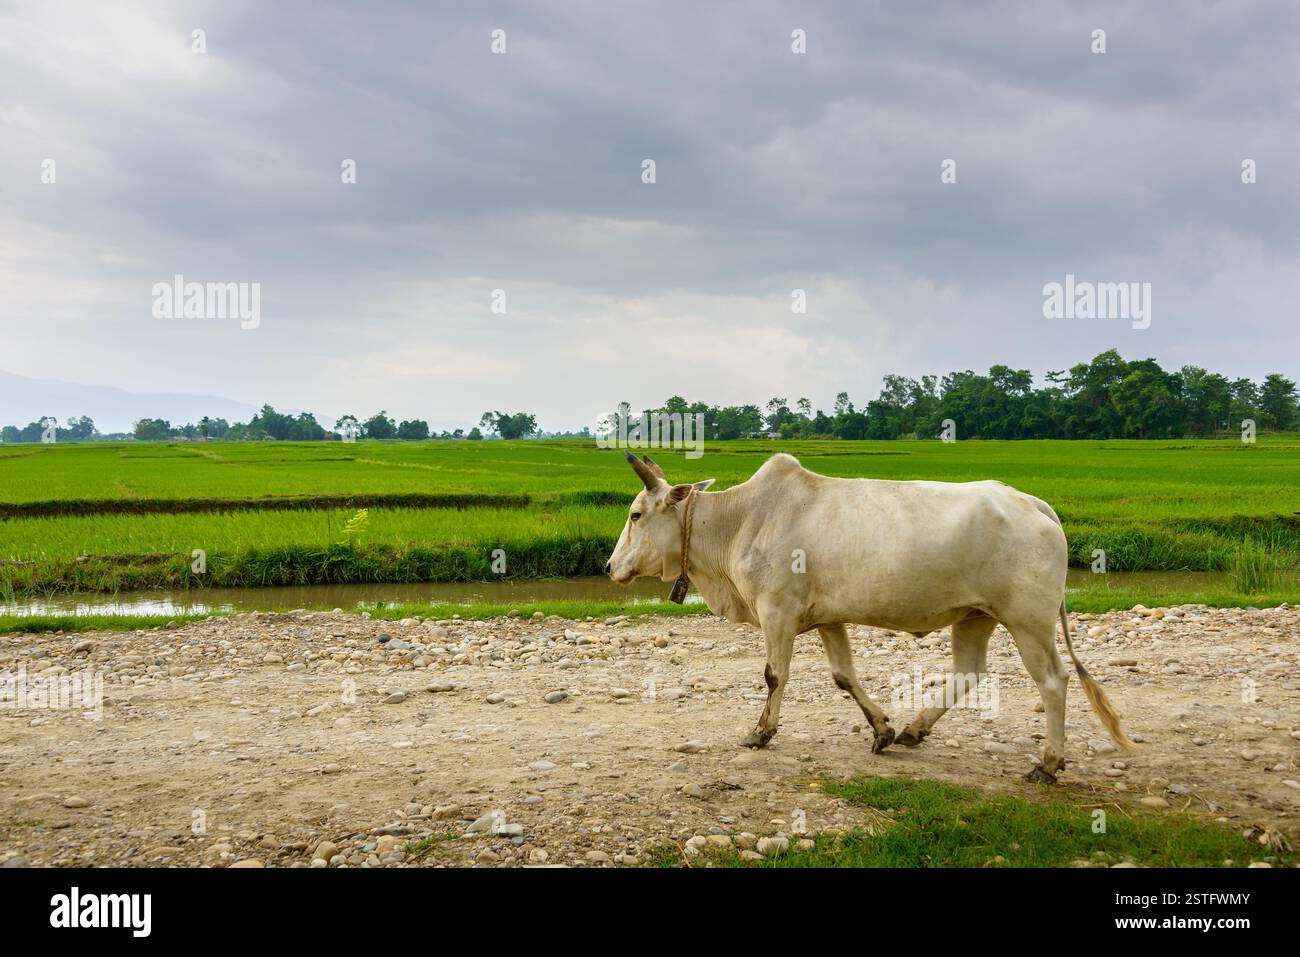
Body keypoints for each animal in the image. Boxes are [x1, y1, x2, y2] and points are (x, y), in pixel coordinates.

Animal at [605, 451, 1132, 782]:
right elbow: (844, 675)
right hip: (977, 615)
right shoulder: (826, 619)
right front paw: (882, 729)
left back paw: (1048, 763)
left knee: (1053, 681)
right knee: (969, 672)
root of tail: (1033, 502)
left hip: (1028, 620)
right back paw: (916, 729)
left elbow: (775, 675)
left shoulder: (778, 612)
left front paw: (761, 732)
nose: (610, 568)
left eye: (635, 515)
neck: (741, 520)